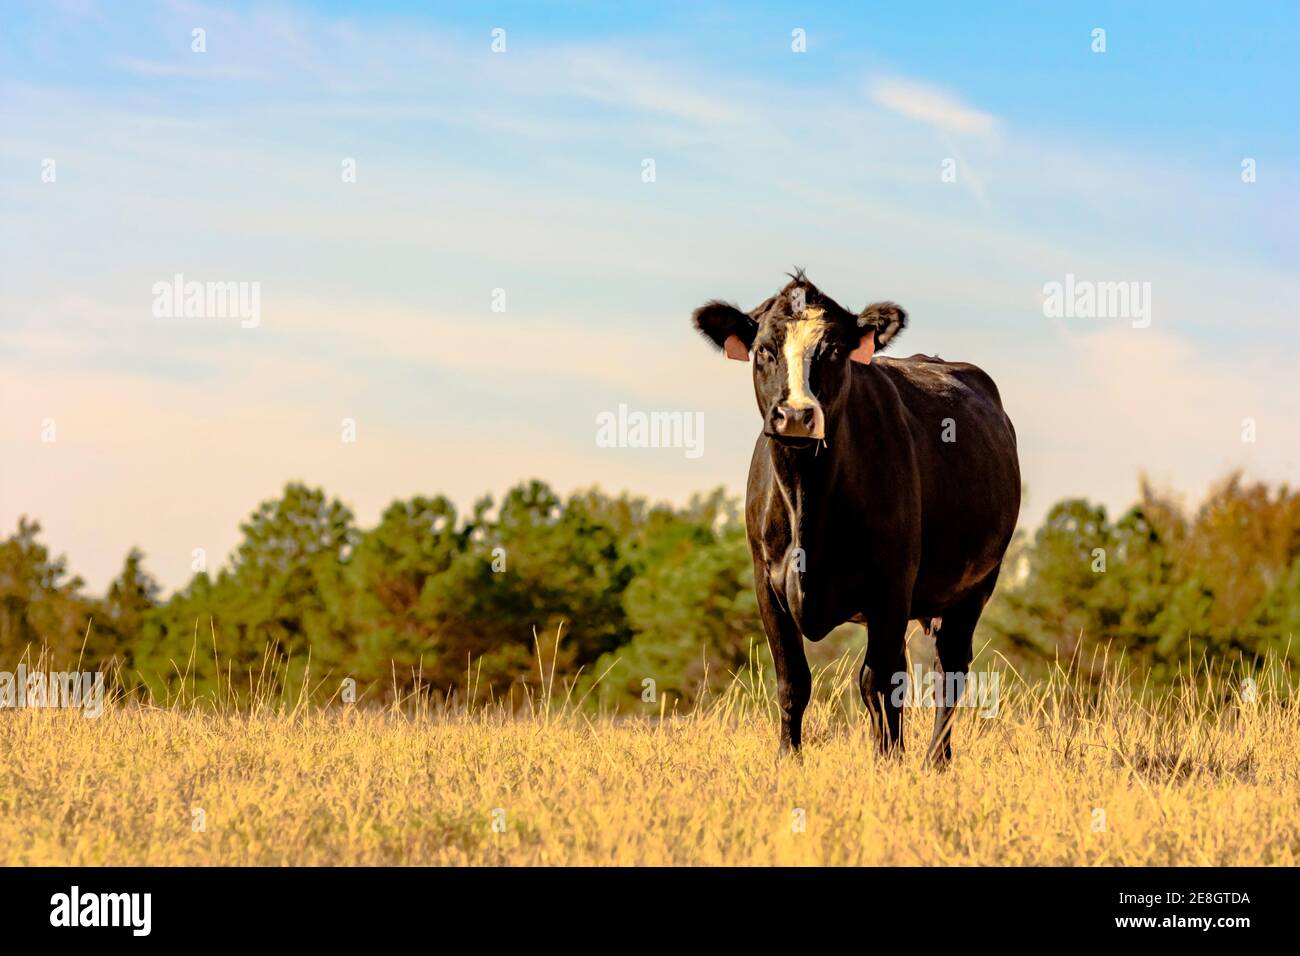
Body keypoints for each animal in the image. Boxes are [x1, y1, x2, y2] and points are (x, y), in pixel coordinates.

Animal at [692, 270, 1020, 763]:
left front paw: (885, 763)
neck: (807, 500)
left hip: (975, 586)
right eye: (764, 350)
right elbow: (793, 679)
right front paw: (789, 758)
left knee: (948, 672)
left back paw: (934, 760)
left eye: (832, 350)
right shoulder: (766, 582)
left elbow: (877, 682)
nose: (796, 414)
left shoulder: (892, 581)